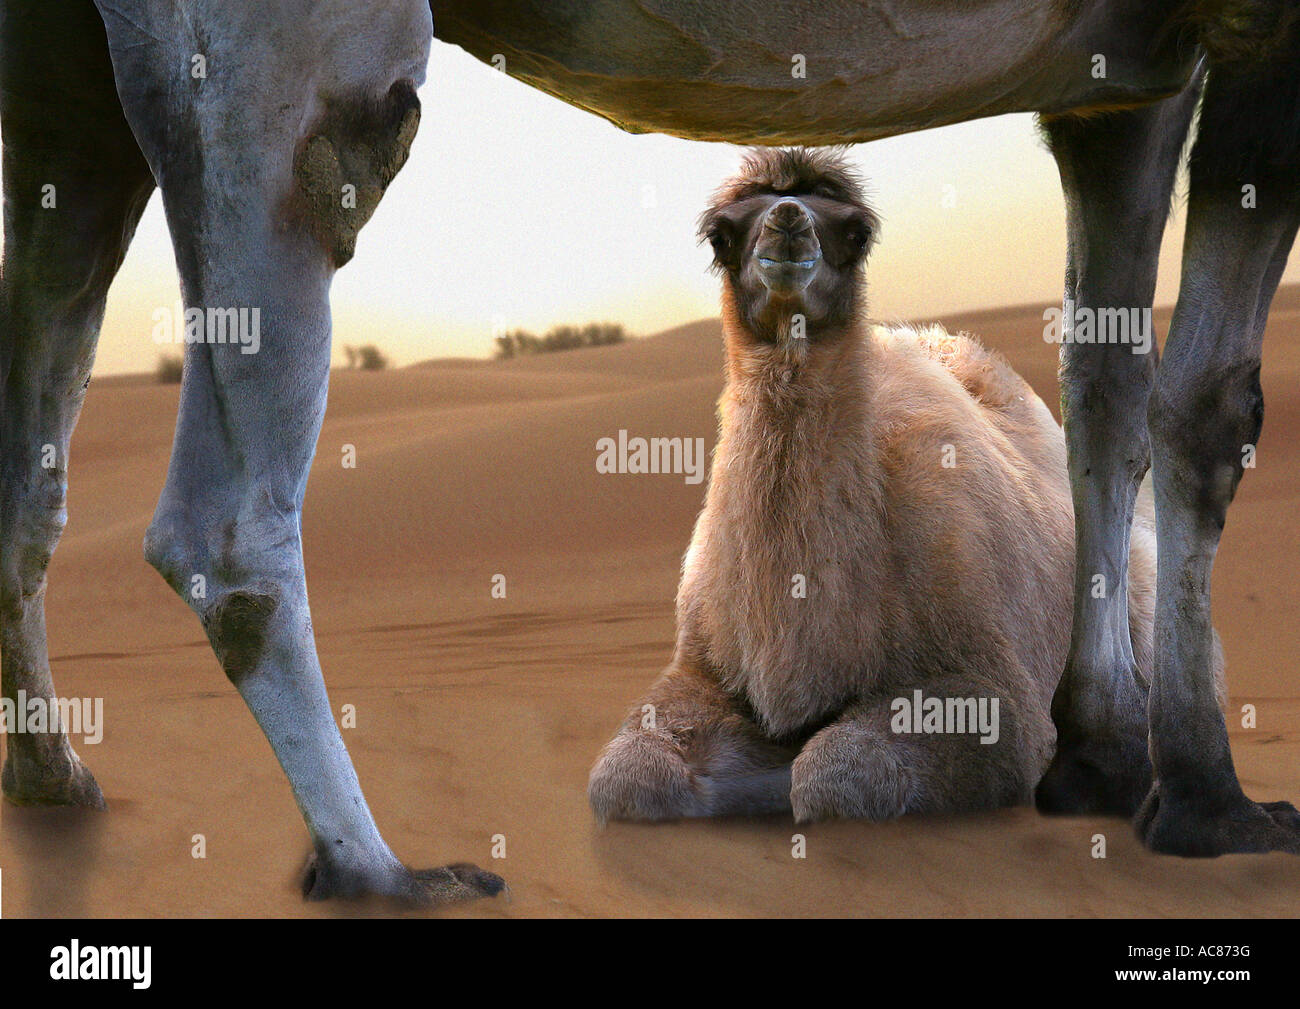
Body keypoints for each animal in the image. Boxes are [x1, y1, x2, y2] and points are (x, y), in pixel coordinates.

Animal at [590, 147, 1224, 822]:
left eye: (855, 231)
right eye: (722, 232)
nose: (788, 224)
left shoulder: (994, 686)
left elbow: (831, 775)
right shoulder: (702, 664)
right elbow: (625, 777)